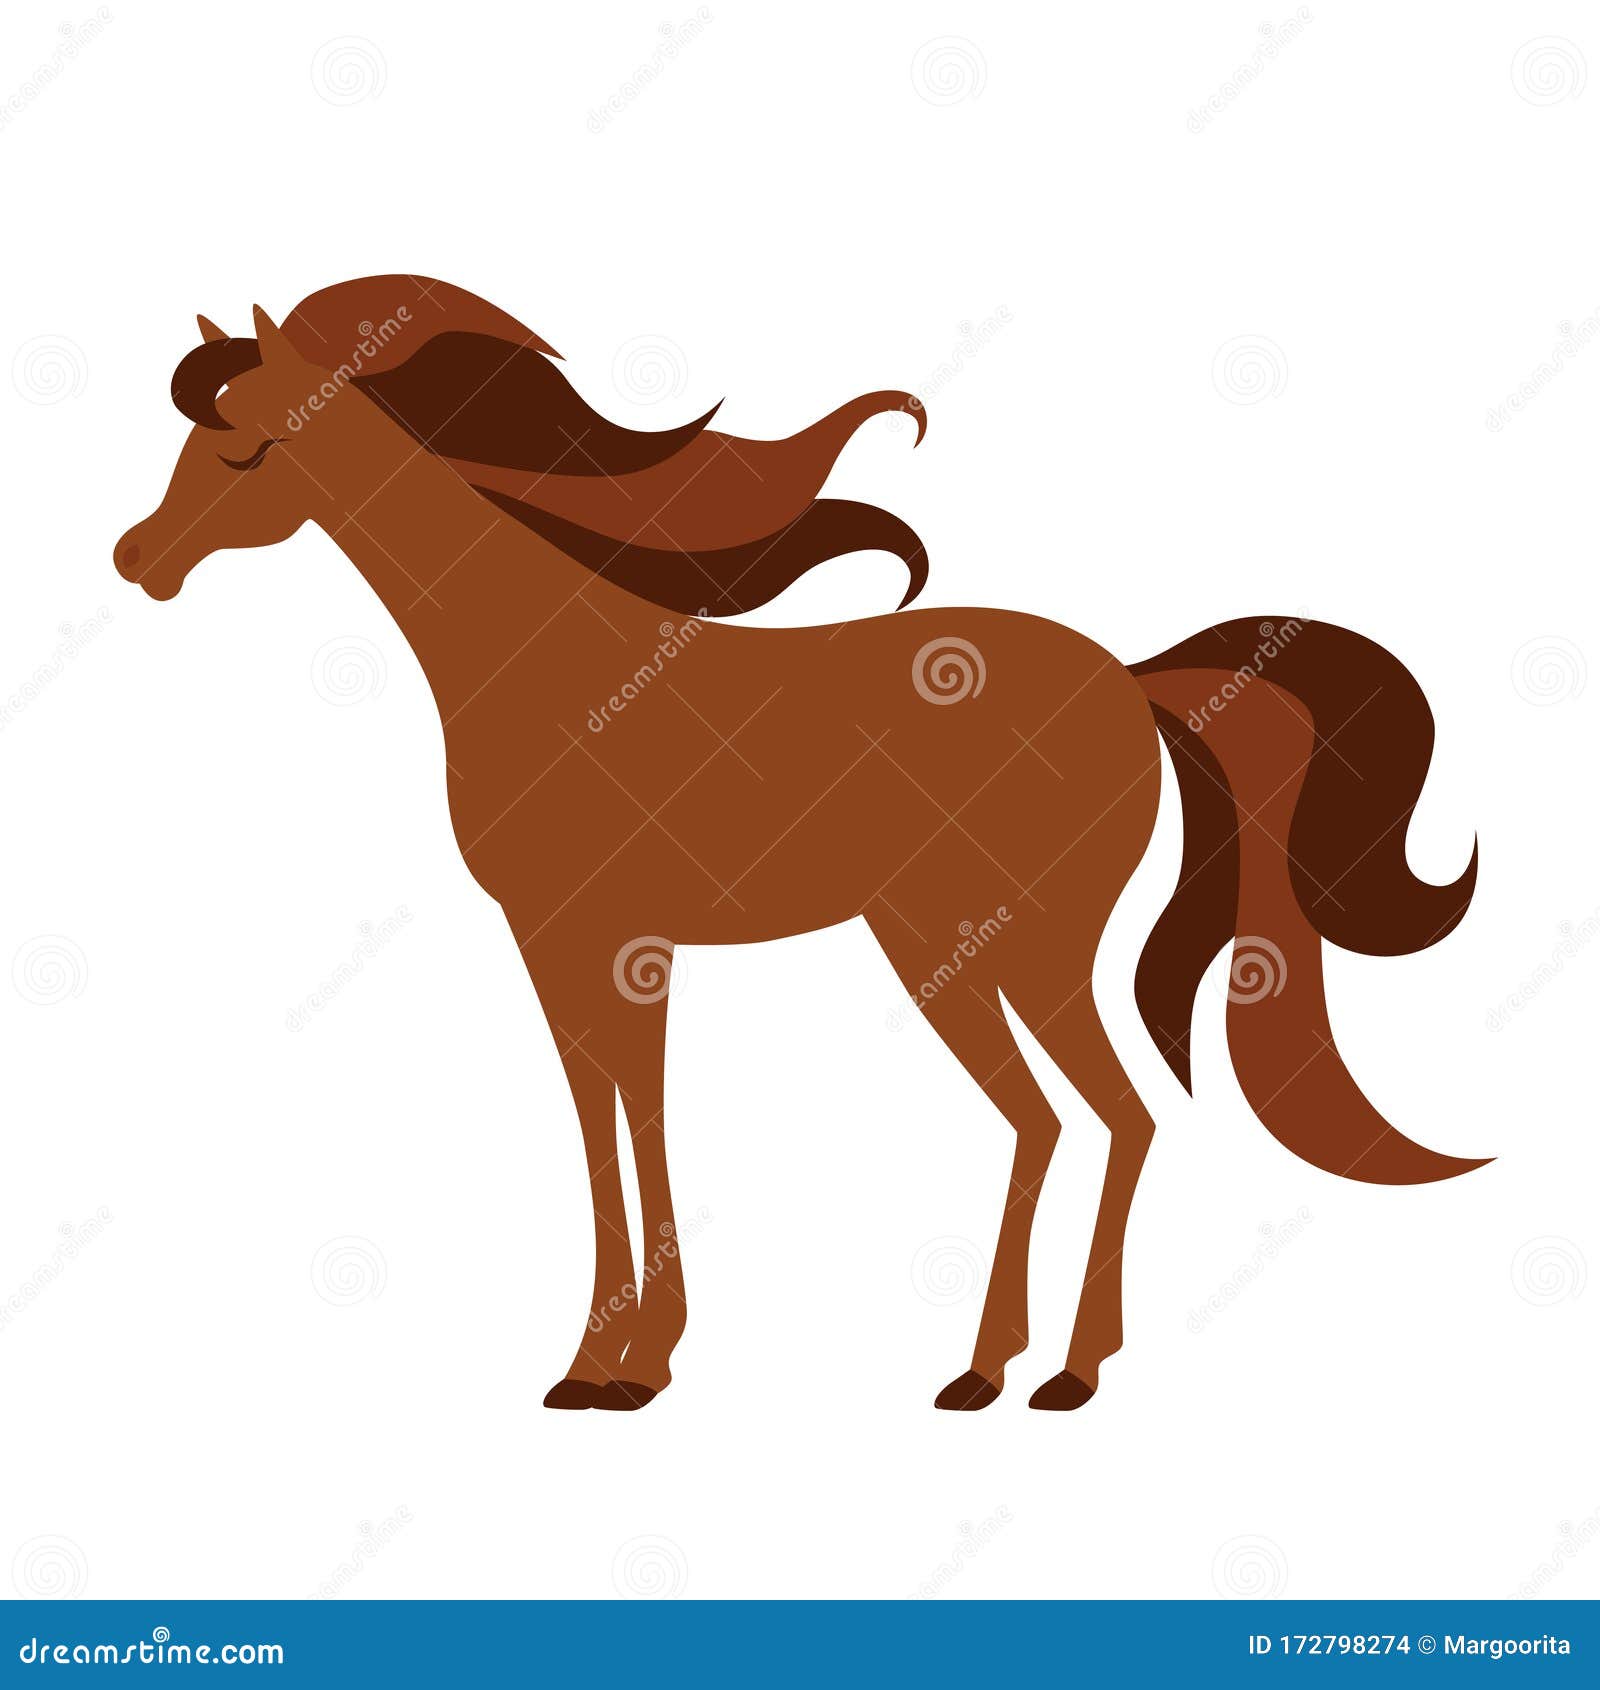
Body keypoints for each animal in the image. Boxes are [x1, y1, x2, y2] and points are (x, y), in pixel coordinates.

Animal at [114, 276, 1485, 1413]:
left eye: (244, 443)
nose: (138, 560)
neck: (545, 662)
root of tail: (1132, 681)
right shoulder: (577, 944)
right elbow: (608, 1114)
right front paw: (600, 1361)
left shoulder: (605, 939)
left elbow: (634, 1117)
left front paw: (633, 1363)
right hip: (944, 945)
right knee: (1047, 1124)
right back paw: (985, 1369)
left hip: (1020, 944)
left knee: (1119, 1119)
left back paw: (1070, 1373)